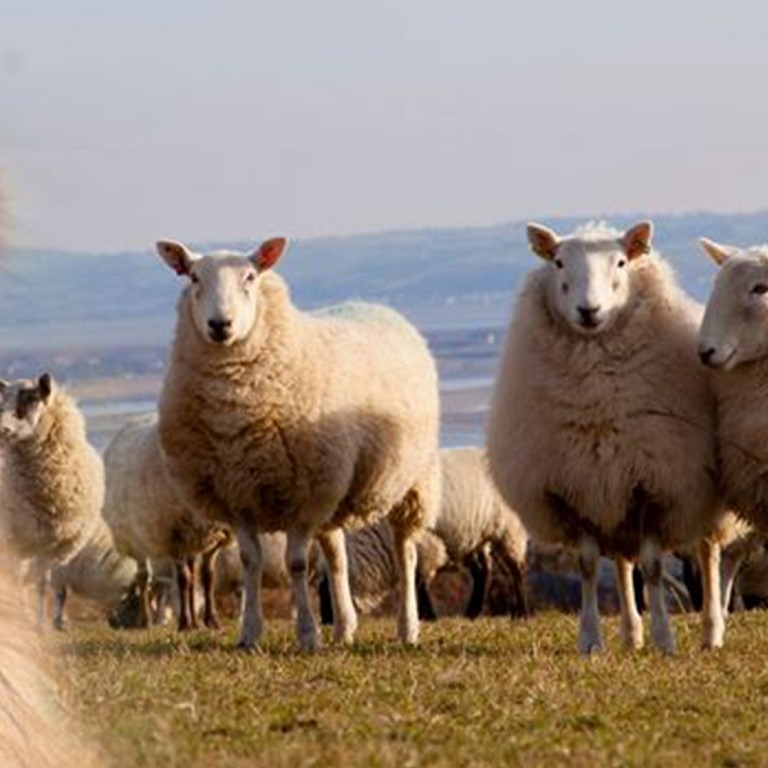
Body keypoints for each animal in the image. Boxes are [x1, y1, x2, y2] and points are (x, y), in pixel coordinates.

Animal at [0, 374, 103, 626]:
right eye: (1, 401)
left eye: (32, 399)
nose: (1, 430)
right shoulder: (13, 538)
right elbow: (16, 581)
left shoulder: (52, 543)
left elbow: (41, 584)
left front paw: (38, 626)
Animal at [103, 415, 231, 630]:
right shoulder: (173, 534)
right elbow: (183, 579)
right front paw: (185, 623)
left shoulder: (214, 538)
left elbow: (207, 578)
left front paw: (211, 620)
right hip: (136, 539)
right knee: (143, 578)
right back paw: (145, 620)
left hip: (193, 539)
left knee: (191, 572)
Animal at [156, 237, 441, 650]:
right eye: (193, 277)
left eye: (251, 277)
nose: (220, 325)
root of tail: (377, 306)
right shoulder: (236, 496)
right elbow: (251, 562)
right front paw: (249, 634)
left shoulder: (304, 497)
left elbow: (296, 564)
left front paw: (307, 634)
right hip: (335, 484)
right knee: (336, 555)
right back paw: (344, 628)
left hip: (410, 478)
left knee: (406, 553)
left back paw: (407, 628)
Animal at [487, 220, 726, 654]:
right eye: (558, 262)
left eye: (620, 262)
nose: (589, 310)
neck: (595, 397)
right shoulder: (576, 487)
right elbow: (587, 566)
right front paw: (590, 640)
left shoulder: (653, 485)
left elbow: (653, 567)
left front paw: (665, 639)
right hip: (613, 502)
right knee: (621, 562)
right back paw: (631, 635)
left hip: (700, 499)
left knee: (708, 553)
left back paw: (711, 632)